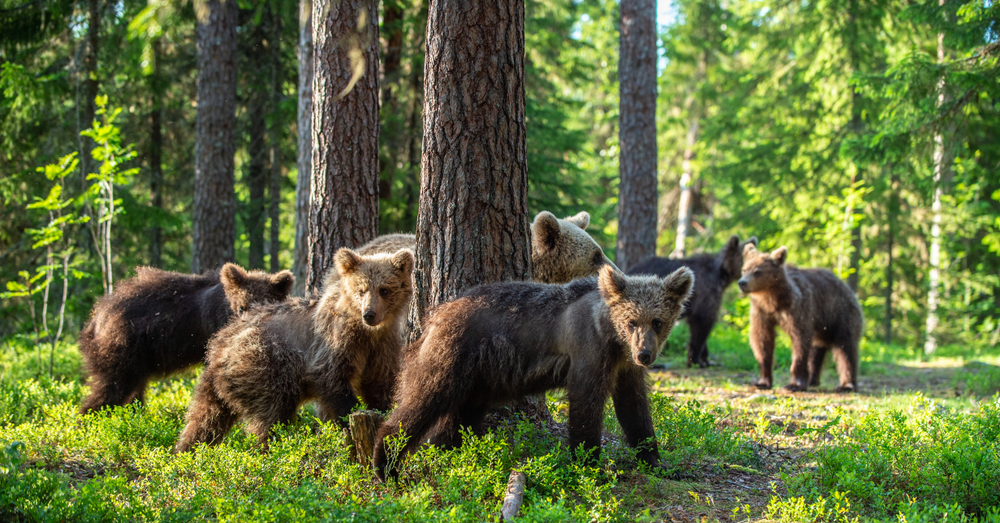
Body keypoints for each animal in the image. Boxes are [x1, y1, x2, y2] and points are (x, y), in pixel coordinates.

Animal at [78, 264, 292, 416]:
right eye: (241, 306)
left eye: (265, 303)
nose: (249, 325)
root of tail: (96, 316)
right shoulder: (215, 331)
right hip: (122, 346)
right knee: (113, 385)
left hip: (139, 358)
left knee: (133, 390)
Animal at [176, 248, 414, 452]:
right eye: (361, 289)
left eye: (384, 289)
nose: (369, 314)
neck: (366, 332)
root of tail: (220, 346)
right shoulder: (334, 342)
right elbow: (331, 378)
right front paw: (351, 412)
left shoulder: (382, 346)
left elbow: (378, 383)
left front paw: (383, 411)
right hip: (264, 364)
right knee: (272, 414)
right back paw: (269, 448)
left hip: (218, 384)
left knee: (205, 418)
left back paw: (186, 449)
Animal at [372, 264, 692, 482]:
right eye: (631, 321)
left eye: (658, 321)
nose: (645, 355)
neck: (611, 337)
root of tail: (436, 314)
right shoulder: (588, 350)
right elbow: (586, 405)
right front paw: (589, 465)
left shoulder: (623, 367)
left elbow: (634, 409)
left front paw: (658, 462)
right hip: (452, 354)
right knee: (424, 397)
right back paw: (385, 462)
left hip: (478, 377)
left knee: (460, 416)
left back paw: (449, 452)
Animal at [628, 236, 752, 368]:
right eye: (745, 256)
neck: (721, 275)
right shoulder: (705, 292)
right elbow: (702, 321)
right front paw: (695, 360)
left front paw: (706, 360)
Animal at [740, 246, 864, 392]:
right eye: (744, 269)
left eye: (757, 271)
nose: (742, 283)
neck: (772, 298)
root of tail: (848, 289)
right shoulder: (762, 312)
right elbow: (762, 341)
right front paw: (762, 382)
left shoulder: (797, 309)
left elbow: (800, 341)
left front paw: (794, 384)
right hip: (822, 327)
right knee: (817, 351)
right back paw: (812, 380)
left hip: (841, 316)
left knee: (846, 348)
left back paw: (847, 385)